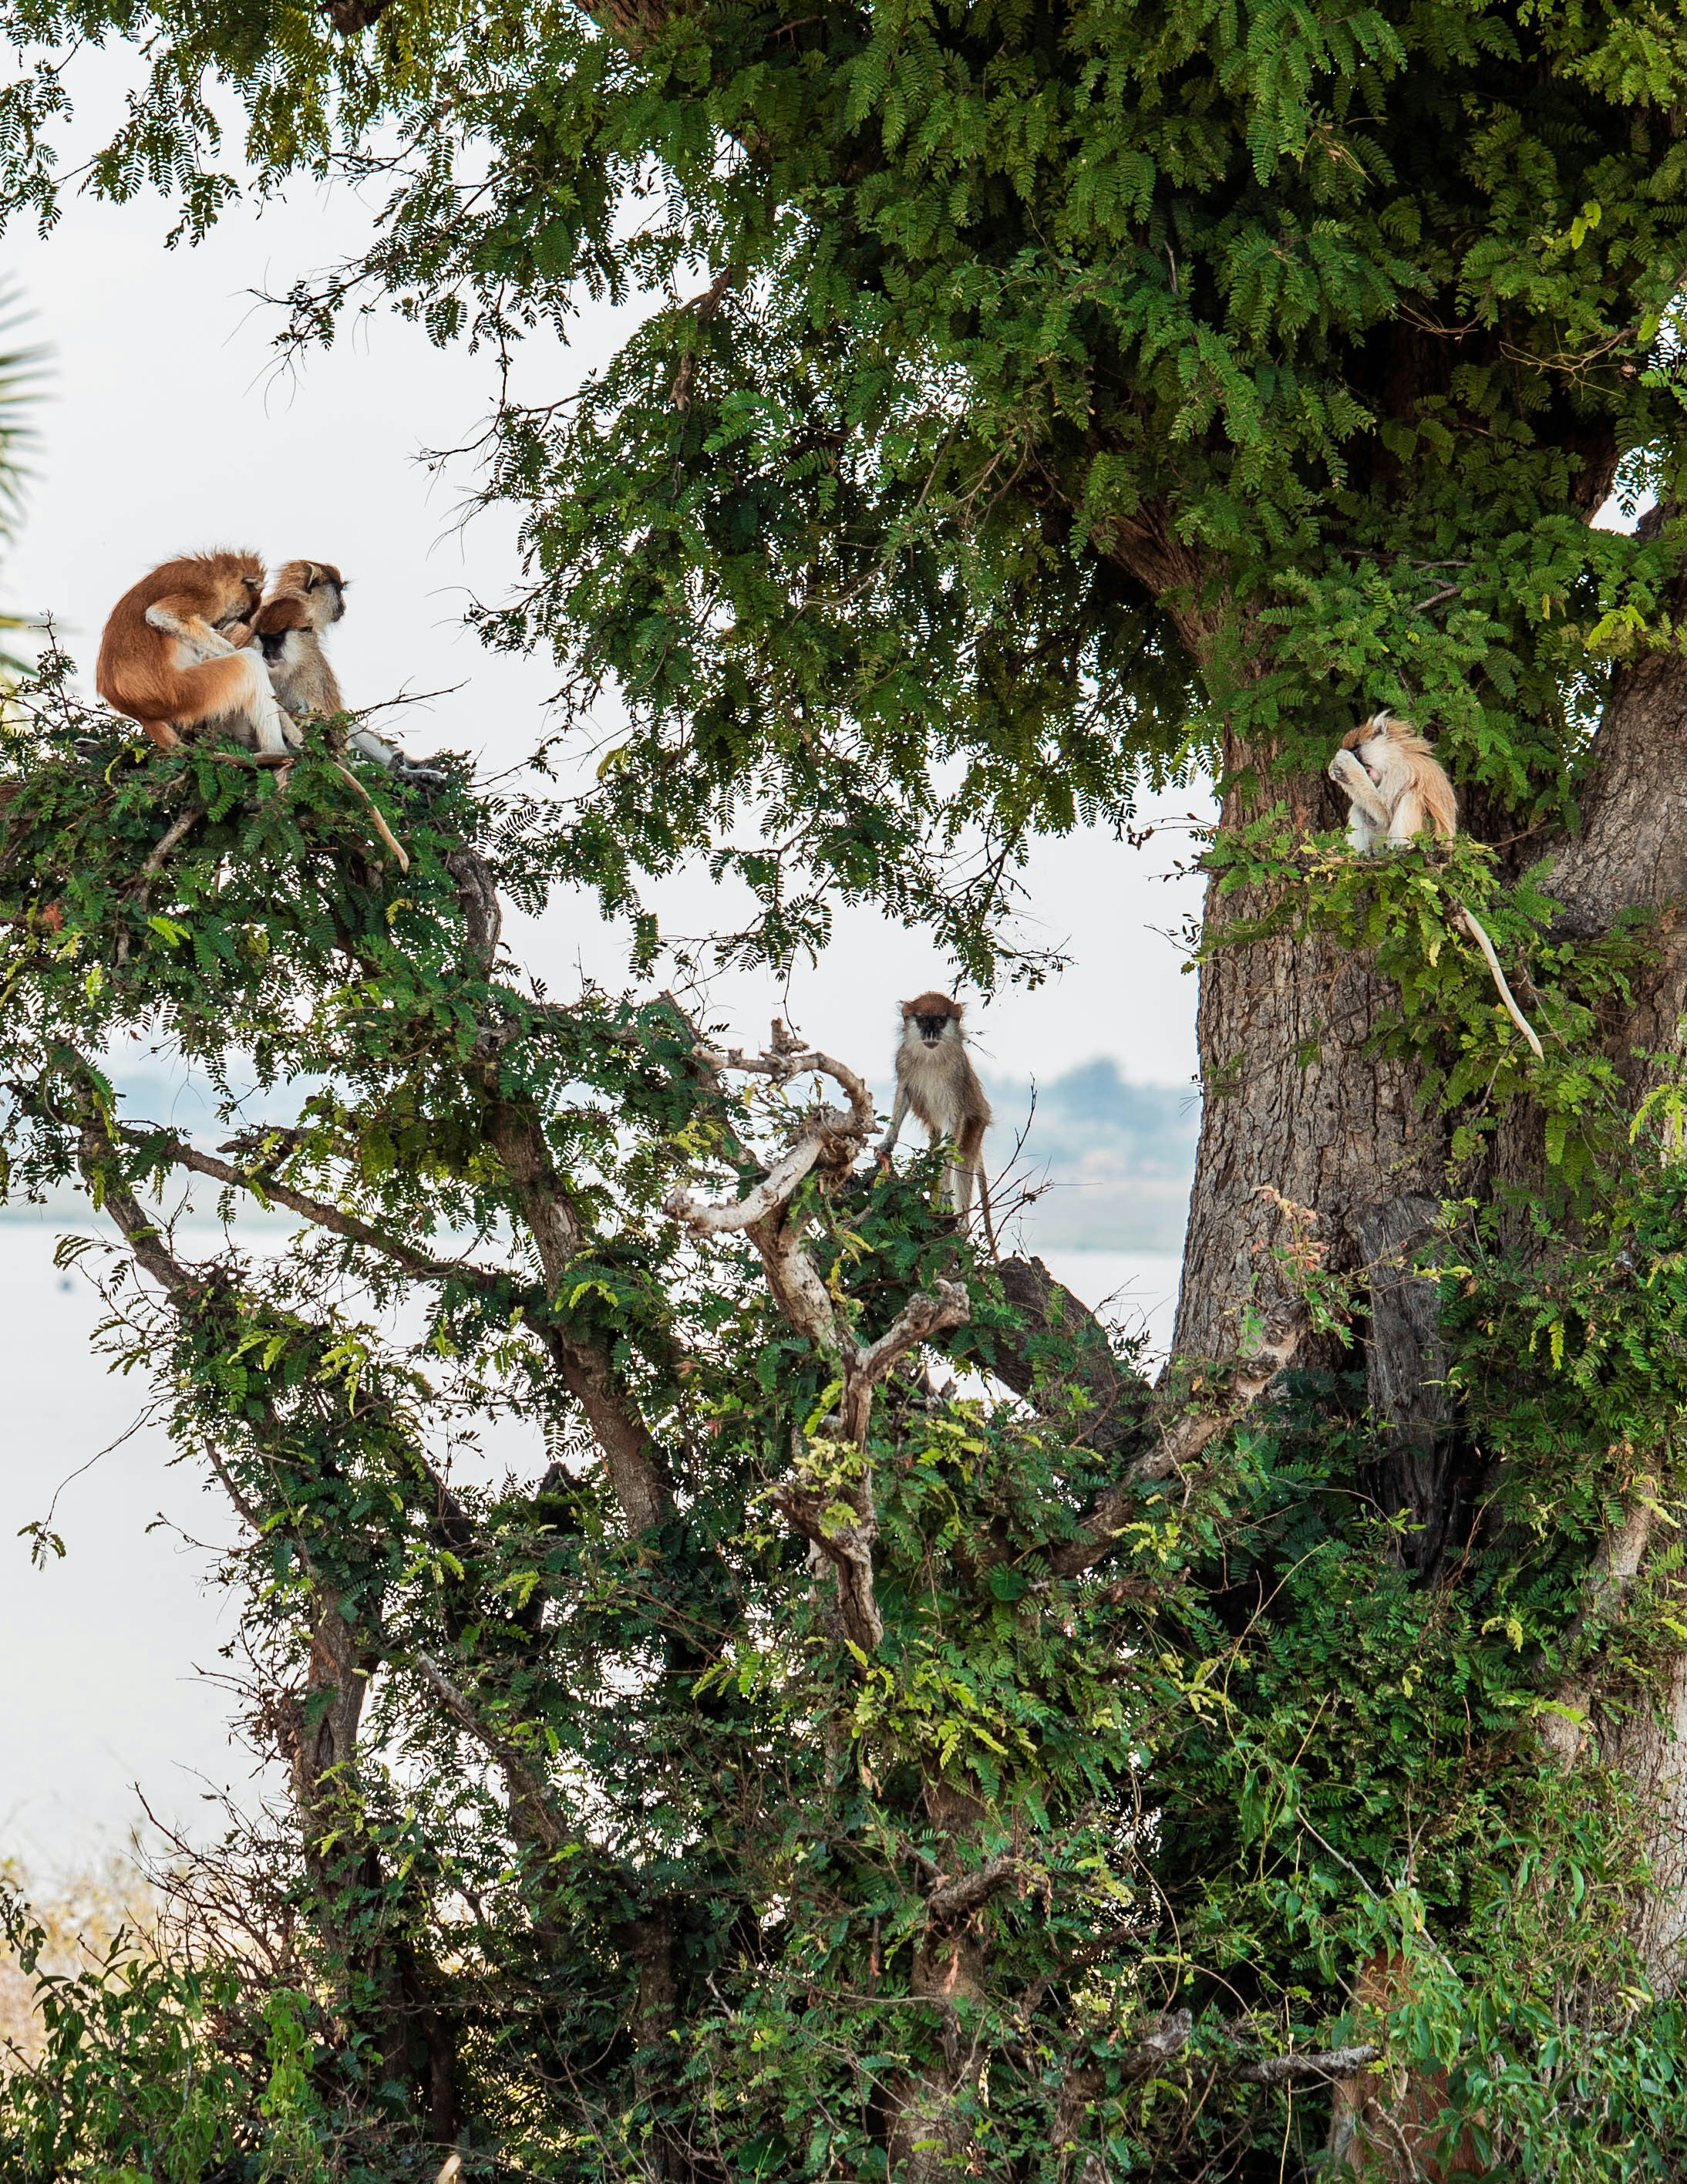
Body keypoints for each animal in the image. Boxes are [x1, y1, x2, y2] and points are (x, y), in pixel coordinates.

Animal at [96, 551, 296, 756]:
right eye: (241, 614)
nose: (222, 625)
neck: (215, 572)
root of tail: (138, 711)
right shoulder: (209, 596)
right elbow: (160, 615)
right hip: (181, 693)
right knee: (249, 662)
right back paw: (277, 753)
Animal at [877, 991, 996, 1241]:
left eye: (940, 1020)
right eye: (924, 1020)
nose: (931, 1033)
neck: (931, 1057)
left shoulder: (956, 1074)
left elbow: (954, 1121)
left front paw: (945, 1195)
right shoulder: (903, 1061)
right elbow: (904, 1094)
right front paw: (887, 1142)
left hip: (977, 1123)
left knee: (964, 1158)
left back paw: (961, 1227)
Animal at [1327, 707, 1542, 1059]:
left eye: (1358, 751)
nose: (1353, 762)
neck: (1394, 755)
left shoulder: (1401, 772)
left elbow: (1385, 809)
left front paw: (1341, 766)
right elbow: (1371, 810)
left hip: (1424, 838)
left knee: (1410, 798)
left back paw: (1396, 854)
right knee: (1360, 808)